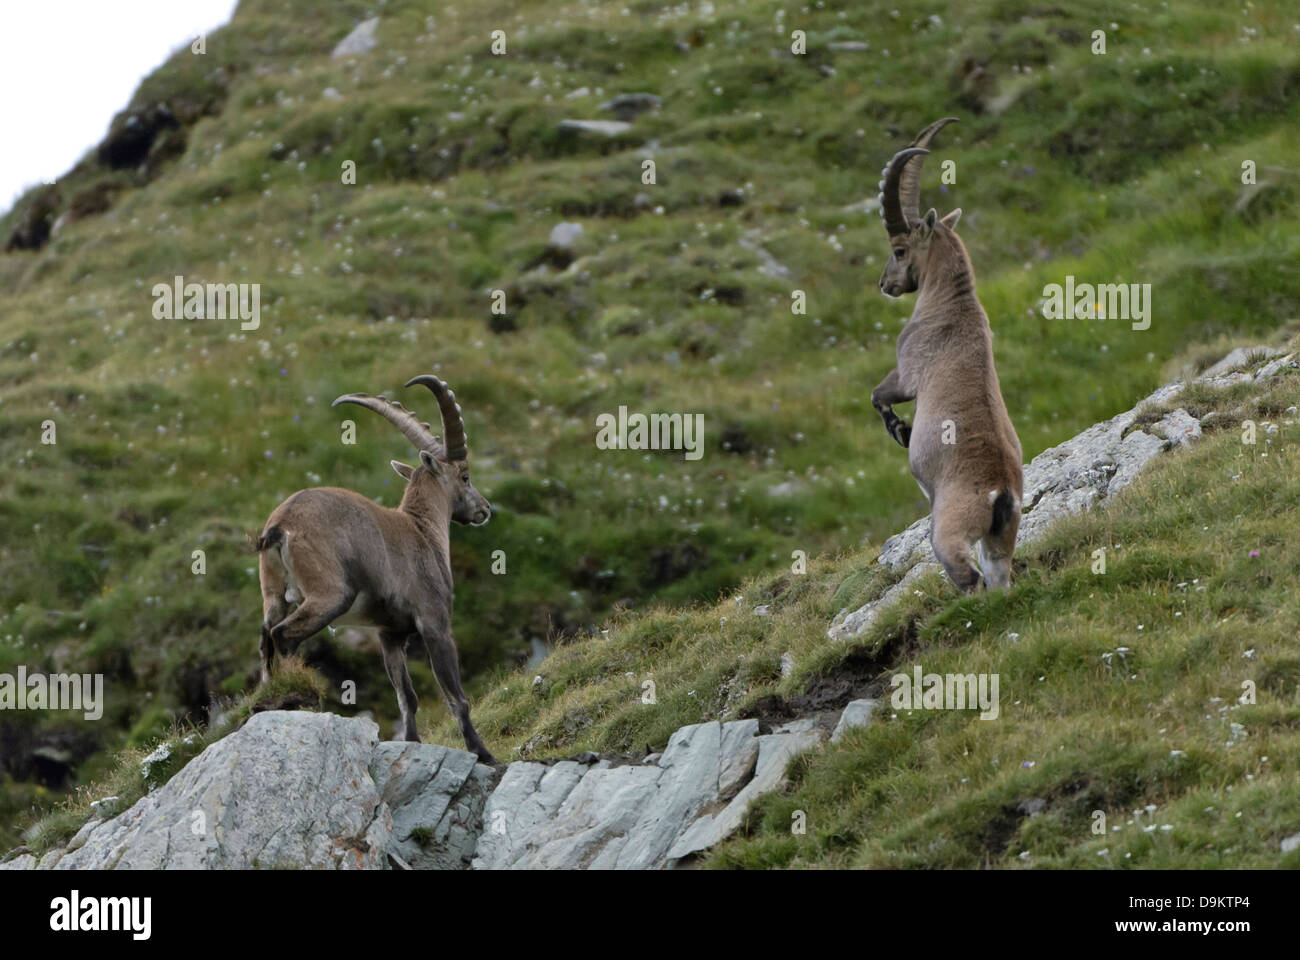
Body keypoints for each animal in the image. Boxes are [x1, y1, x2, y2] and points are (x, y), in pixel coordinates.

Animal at [256, 374, 497, 763]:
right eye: (465, 476)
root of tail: (280, 526)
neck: (422, 529)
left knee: (265, 638)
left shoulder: (389, 633)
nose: (484, 510)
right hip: (330, 594)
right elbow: (456, 697)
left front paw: (412, 742)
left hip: (273, 593)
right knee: (283, 635)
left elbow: (406, 696)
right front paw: (484, 753)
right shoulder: (435, 623)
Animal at [870, 118, 1023, 592]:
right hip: (1000, 540)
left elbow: (879, 395)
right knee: (998, 577)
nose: (886, 284)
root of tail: (1002, 493)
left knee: (968, 575)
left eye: (899, 249)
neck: (954, 304)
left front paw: (901, 431)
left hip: (950, 529)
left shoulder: (908, 373)